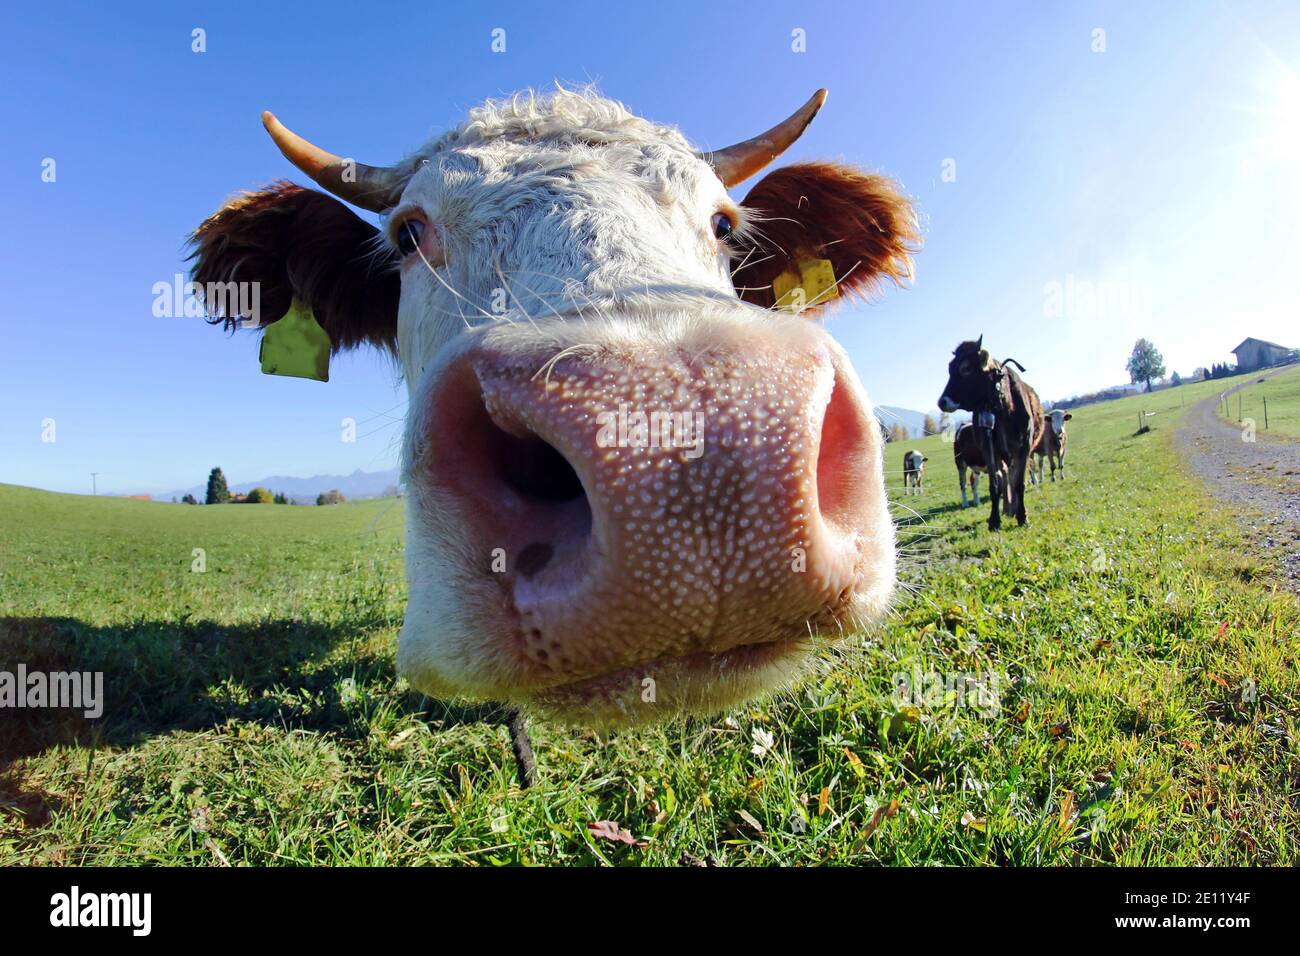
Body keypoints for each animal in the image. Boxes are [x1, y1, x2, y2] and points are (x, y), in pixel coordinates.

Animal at [937, 337, 1043, 531]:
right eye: (949, 367)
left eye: (965, 368)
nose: (942, 401)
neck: (1003, 409)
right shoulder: (988, 448)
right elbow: (995, 484)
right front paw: (994, 520)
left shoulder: (1024, 446)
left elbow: (1019, 483)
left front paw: (1022, 516)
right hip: (962, 462)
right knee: (972, 482)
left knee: (1009, 478)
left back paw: (1011, 508)